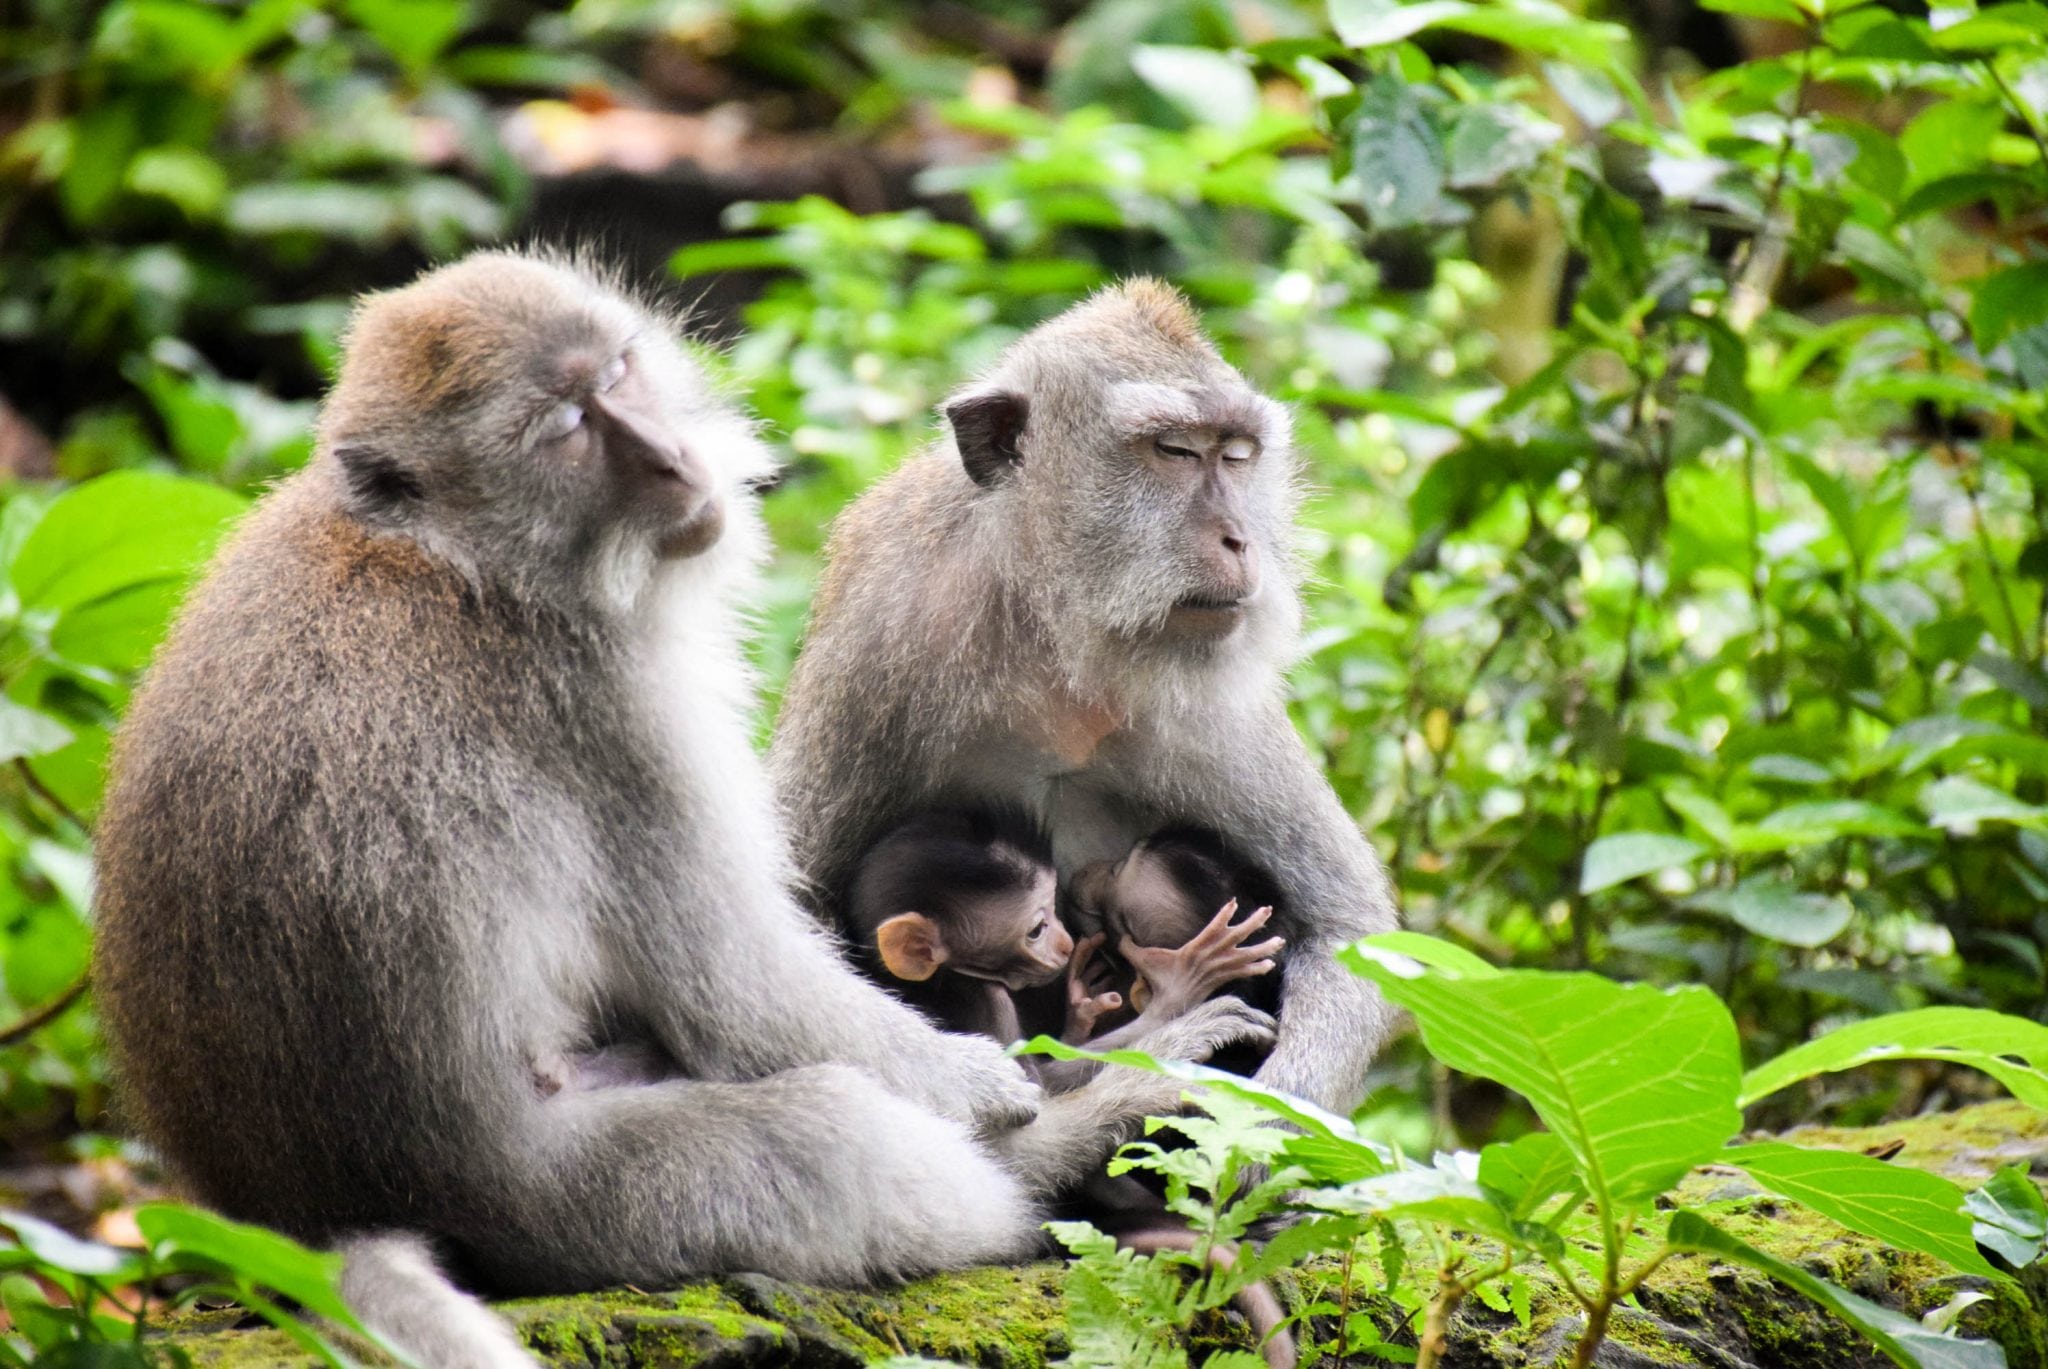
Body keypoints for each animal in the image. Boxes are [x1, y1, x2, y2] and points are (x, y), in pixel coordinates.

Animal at [90, 252, 1275, 1369]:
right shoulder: (614, 707)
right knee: (828, 1136)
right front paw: (1024, 1083)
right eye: (568, 427)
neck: (459, 561)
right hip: (582, 1202)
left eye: (619, 374)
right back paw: (1066, 1141)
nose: (668, 456)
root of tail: (306, 1226)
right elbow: (740, 990)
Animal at [770, 279, 1401, 1119]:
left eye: (1236, 455)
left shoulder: (1209, 698)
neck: (1048, 631)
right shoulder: (878, 646)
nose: (1240, 538)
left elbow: (1346, 930)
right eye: (1175, 451)